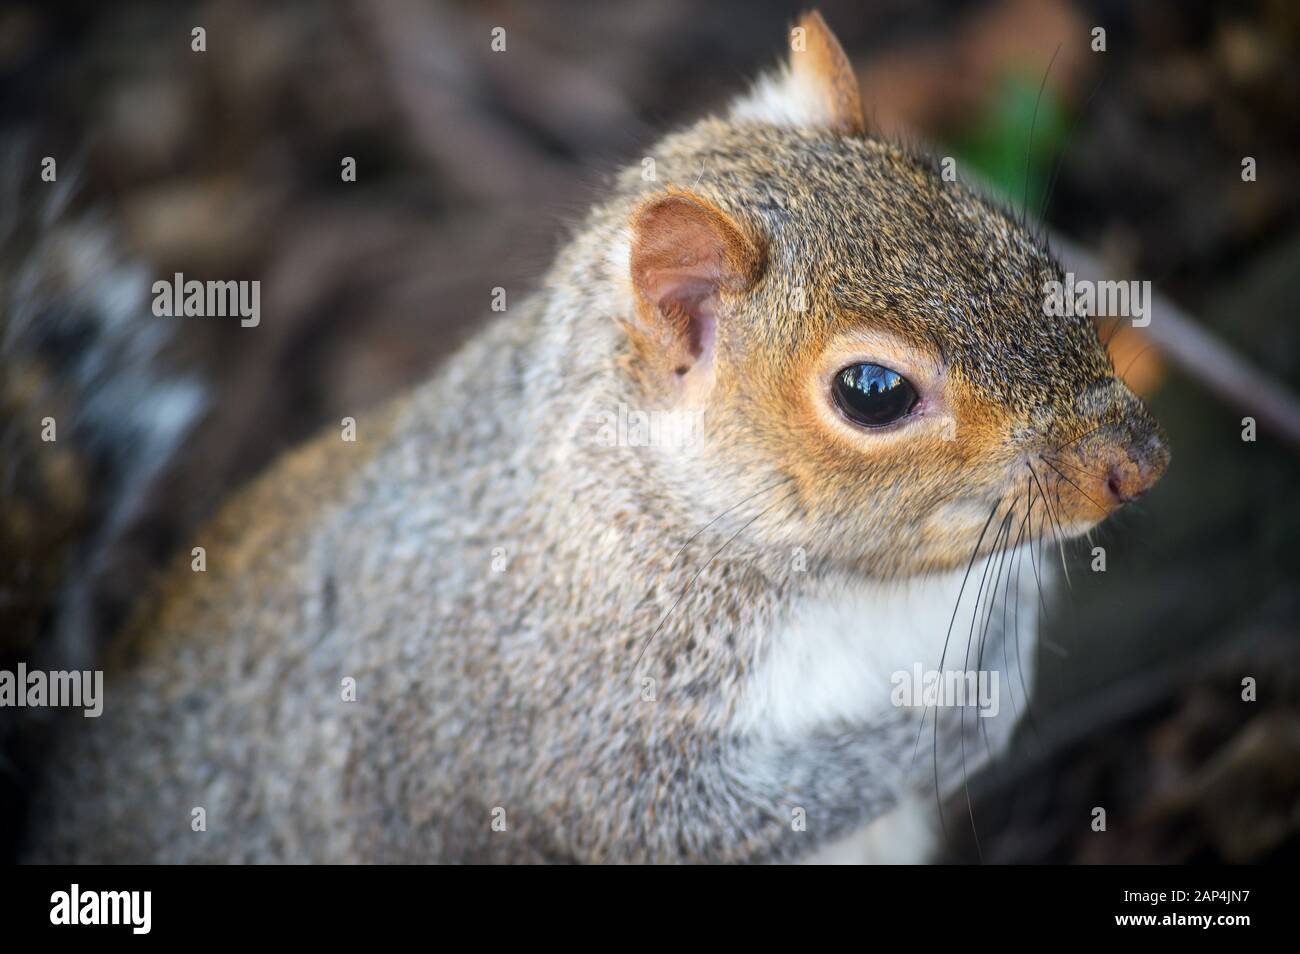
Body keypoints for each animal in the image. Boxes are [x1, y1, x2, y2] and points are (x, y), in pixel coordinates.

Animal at [21, 12, 1167, 863]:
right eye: (873, 392)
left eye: (1021, 243)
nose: (1136, 463)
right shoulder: (559, 737)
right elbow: (682, 816)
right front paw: (948, 727)